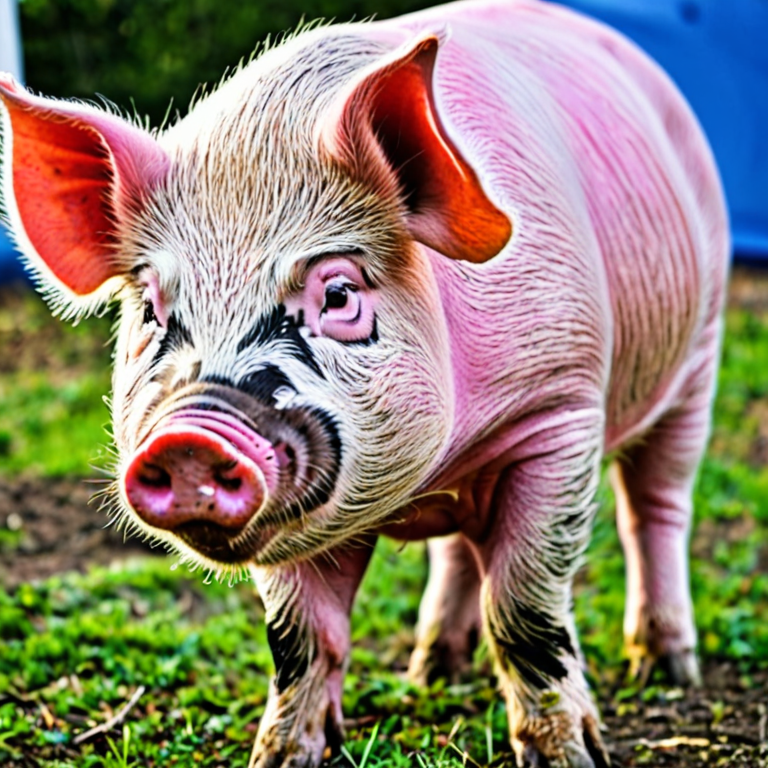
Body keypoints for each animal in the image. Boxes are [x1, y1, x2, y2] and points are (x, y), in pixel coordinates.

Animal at [0, 0, 729, 765]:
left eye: (340, 293)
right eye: (150, 306)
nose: (190, 439)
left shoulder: (561, 407)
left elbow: (524, 605)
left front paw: (571, 755)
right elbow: (300, 636)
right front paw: (279, 756)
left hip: (701, 351)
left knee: (655, 506)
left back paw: (666, 665)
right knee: (461, 550)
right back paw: (430, 671)